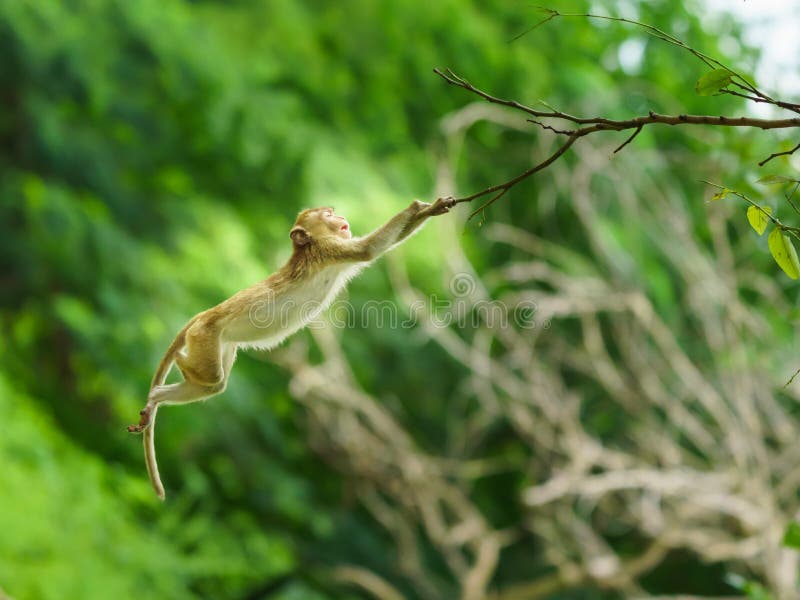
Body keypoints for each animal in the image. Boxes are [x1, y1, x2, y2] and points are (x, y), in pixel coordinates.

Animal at [128, 196, 456, 499]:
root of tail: (201, 316)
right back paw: (179, 364)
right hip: (205, 336)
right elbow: (369, 249)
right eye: (327, 215)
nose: (340, 217)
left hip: (218, 344)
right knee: (212, 378)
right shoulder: (330, 249)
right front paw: (417, 207)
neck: (308, 246)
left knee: (213, 385)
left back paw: (157, 397)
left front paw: (433, 209)